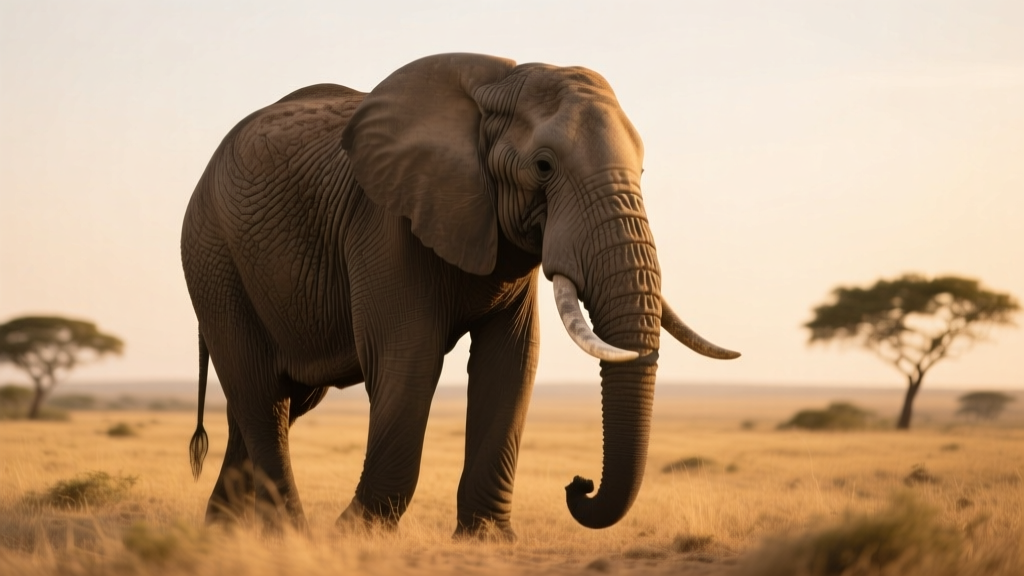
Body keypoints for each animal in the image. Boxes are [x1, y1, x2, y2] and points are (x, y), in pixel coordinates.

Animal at [180, 53, 739, 539]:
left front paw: (487, 540)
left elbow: (512, 361)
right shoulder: (387, 224)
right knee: (261, 392)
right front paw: (355, 533)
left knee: (275, 400)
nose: (579, 484)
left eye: (641, 172)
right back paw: (289, 535)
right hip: (213, 260)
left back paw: (223, 533)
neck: (493, 91)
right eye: (543, 166)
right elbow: (409, 359)